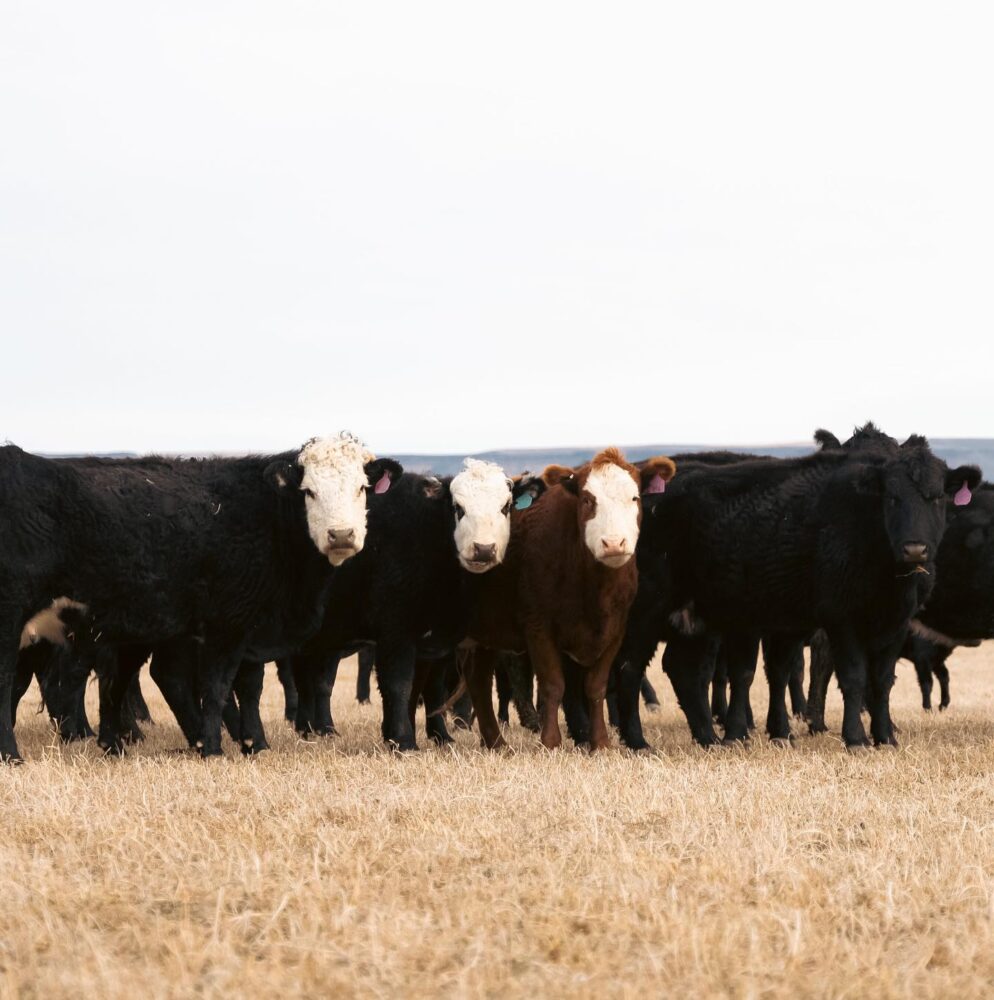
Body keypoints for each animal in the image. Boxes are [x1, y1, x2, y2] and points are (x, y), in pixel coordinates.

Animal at [0, 434, 388, 761]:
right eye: (309, 491)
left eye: (361, 488)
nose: (341, 535)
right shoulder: (225, 627)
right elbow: (216, 688)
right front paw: (214, 749)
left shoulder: (249, 625)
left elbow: (249, 688)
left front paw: (255, 744)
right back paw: (12, 754)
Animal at [462, 448, 677, 751]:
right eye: (587, 500)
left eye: (634, 498)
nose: (613, 543)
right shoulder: (539, 629)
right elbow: (553, 685)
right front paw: (551, 742)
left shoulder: (615, 631)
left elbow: (595, 687)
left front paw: (600, 742)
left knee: (478, 679)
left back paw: (495, 742)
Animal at [612, 427, 980, 750]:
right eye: (892, 498)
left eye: (937, 498)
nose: (915, 549)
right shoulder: (837, 618)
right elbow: (851, 676)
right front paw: (855, 739)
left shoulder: (893, 622)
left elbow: (880, 680)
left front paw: (885, 737)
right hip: (647, 609)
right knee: (629, 670)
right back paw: (637, 742)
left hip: (694, 617)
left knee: (684, 671)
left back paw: (708, 739)